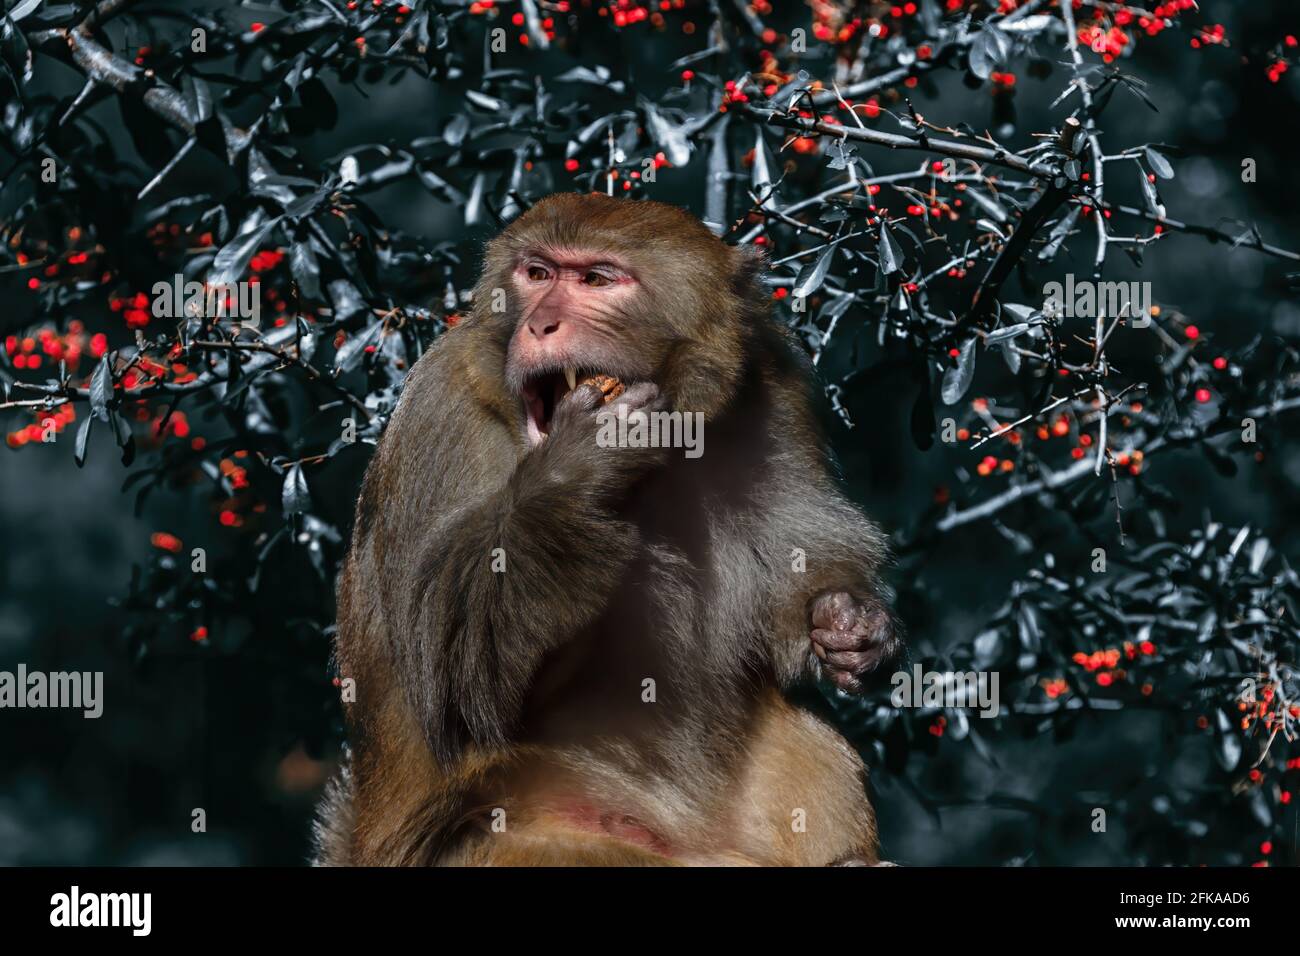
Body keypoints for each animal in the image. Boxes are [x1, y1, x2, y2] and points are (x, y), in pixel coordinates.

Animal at [313, 192, 904, 866]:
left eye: (597, 280)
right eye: (537, 273)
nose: (540, 324)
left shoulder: (770, 383)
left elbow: (795, 568)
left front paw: (854, 624)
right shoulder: (441, 407)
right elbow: (453, 680)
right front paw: (576, 472)